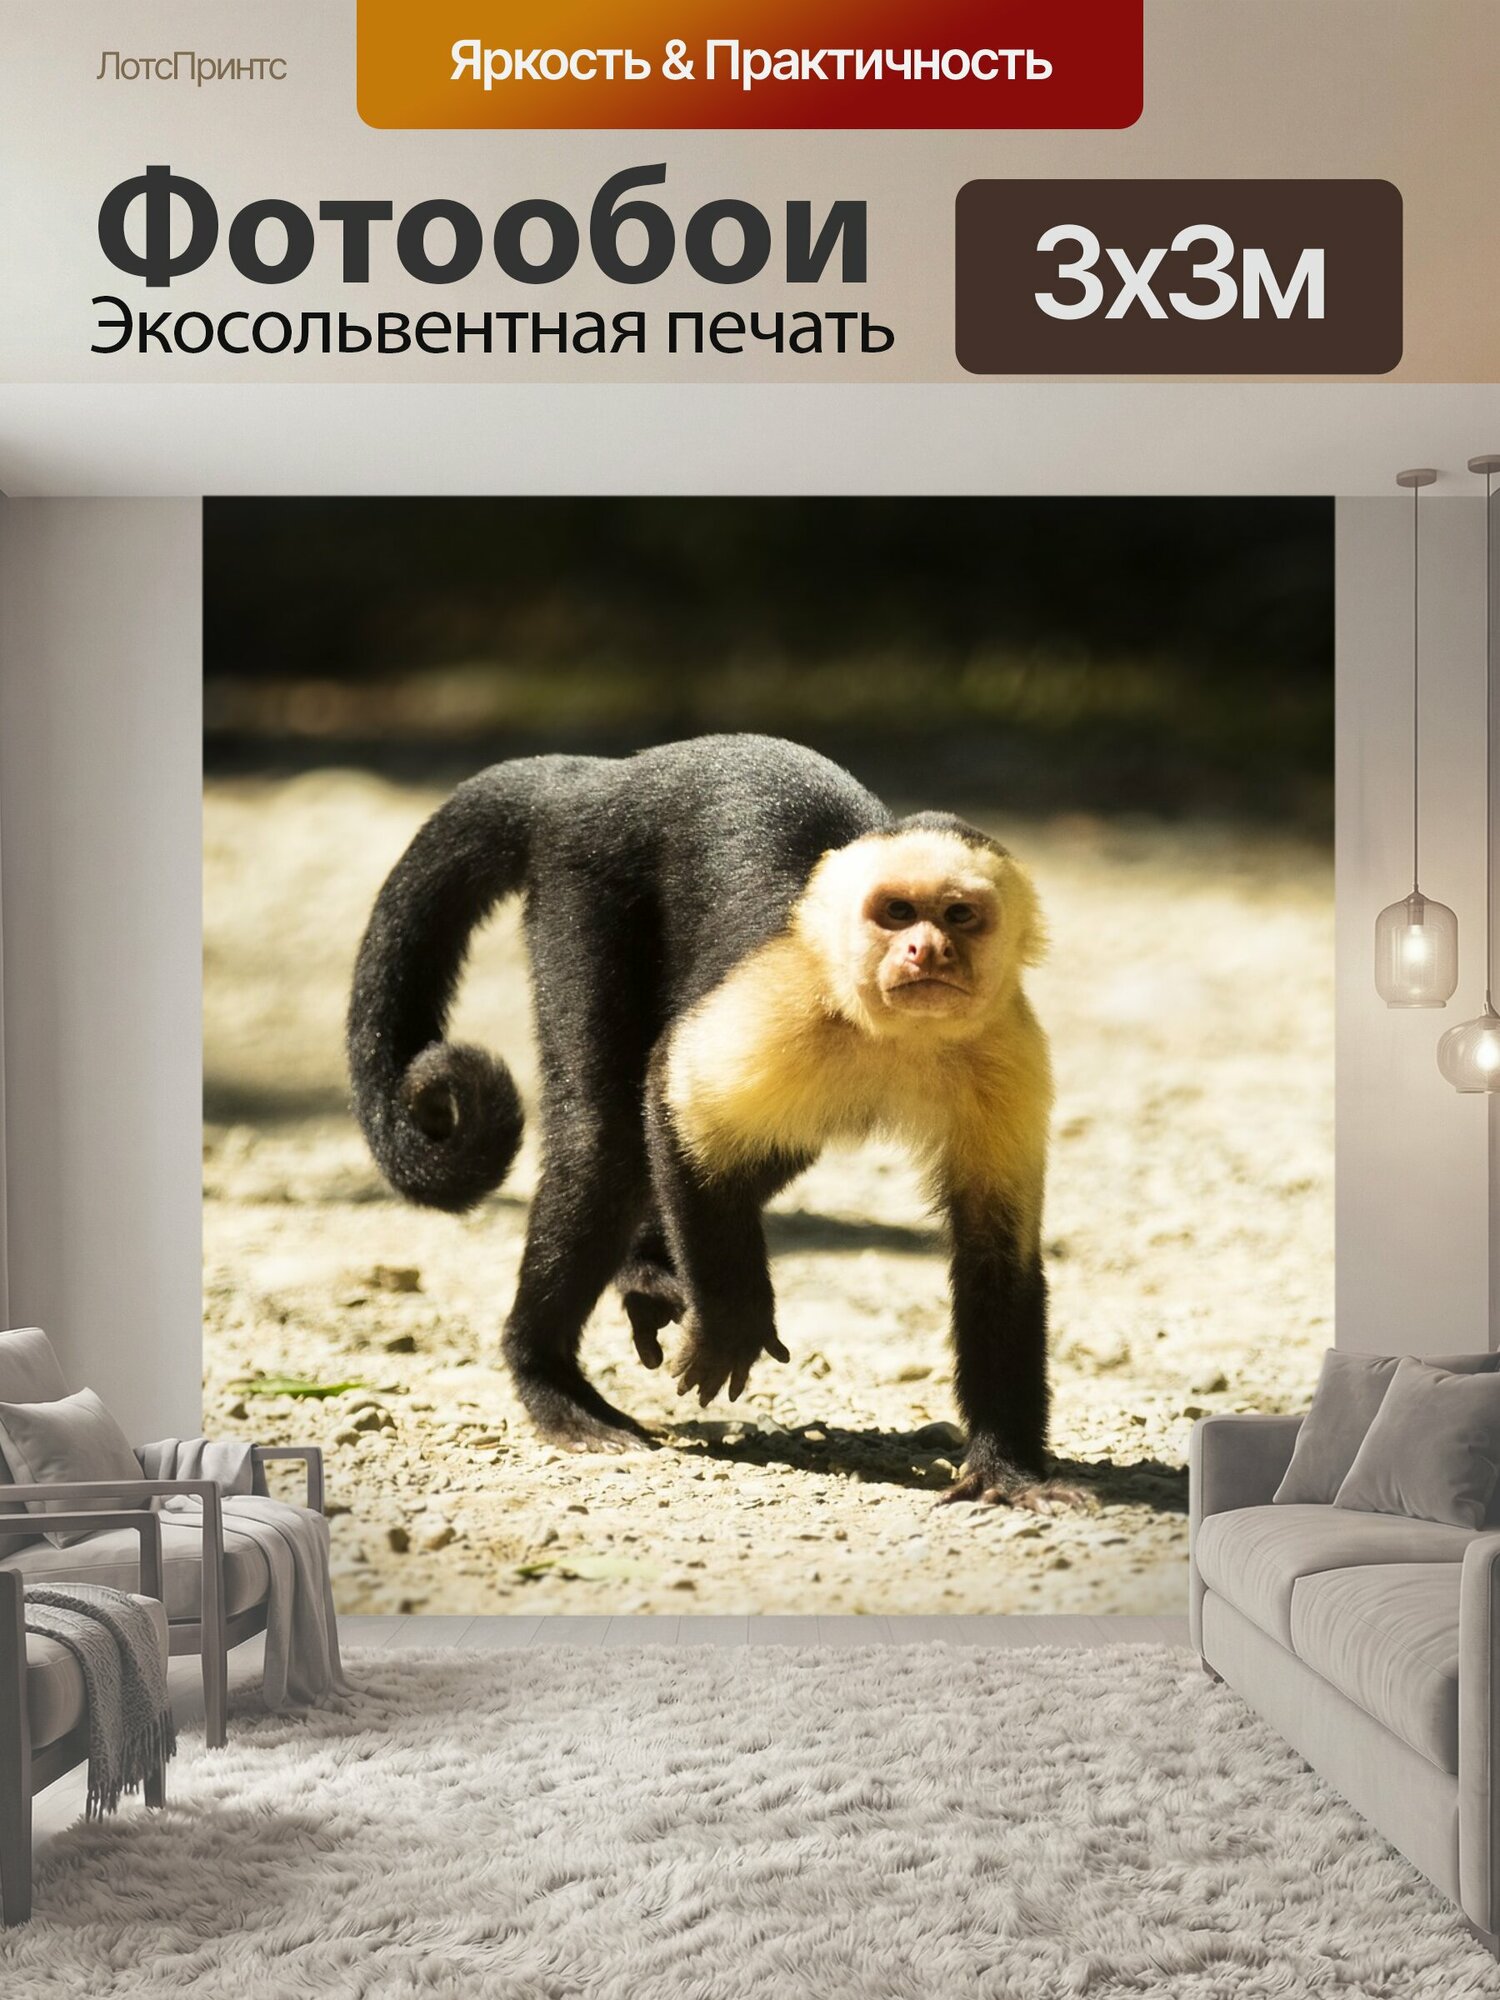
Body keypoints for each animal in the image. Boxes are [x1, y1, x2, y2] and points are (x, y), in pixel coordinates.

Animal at [347, 733, 1073, 1509]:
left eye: (960, 916)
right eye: (899, 912)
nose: (924, 950)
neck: (897, 1035)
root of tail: (598, 779)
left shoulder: (1008, 1052)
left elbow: (996, 1254)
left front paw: (1008, 1468)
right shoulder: (787, 994)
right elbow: (673, 1090)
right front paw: (731, 1320)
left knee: (758, 1149)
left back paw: (643, 1268)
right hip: (589, 889)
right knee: (607, 1137)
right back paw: (548, 1376)